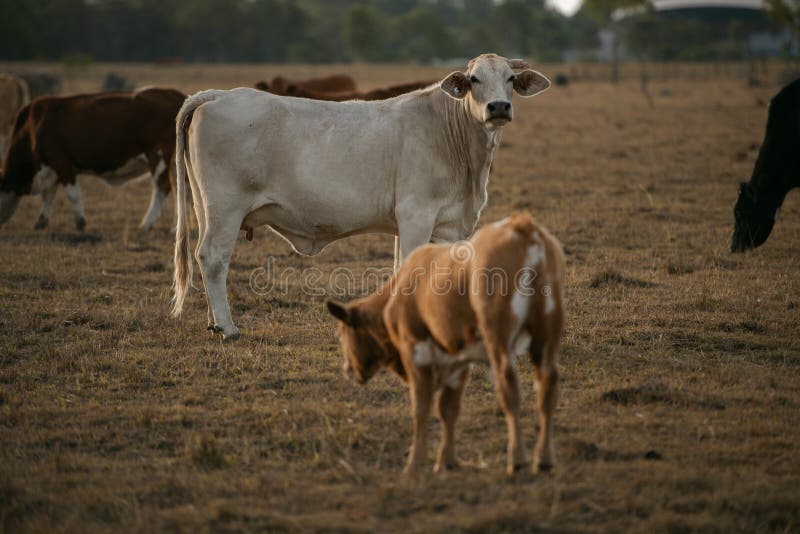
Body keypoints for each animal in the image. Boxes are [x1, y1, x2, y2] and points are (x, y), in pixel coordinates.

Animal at [0, 87, 186, 232]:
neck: (33, 126)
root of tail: (174, 94)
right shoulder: (51, 169)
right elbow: (48, 196)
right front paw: (41, 222)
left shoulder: (62, 163)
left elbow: (73, 194)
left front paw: (80, 222)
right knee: (179, 190)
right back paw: (175, 227)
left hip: (159, 157)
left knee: (162, 188)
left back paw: (146, 224)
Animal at [171, 54, 551, 340]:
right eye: (474, 79)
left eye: (511, 79)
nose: (498, 107)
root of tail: (219, 94)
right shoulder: (416, 214)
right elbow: (411, 269)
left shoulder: (447, 223)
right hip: (226, 207)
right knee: (213, 258)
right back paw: (228, 328)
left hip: (206, 207)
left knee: (204, 257)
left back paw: (214, 323)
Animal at [326, 213, 565, 476]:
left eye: (342, 333)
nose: (348, 369)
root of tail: (523, 229)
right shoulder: (457, 361)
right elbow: (448, 410)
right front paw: (446, 460)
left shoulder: (416, 353)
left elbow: (421, 408)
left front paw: (415, 462)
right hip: (546, 337)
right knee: (547, 388)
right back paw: (544, 458)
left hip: (499, 340)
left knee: (509, 389)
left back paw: (517, 458)